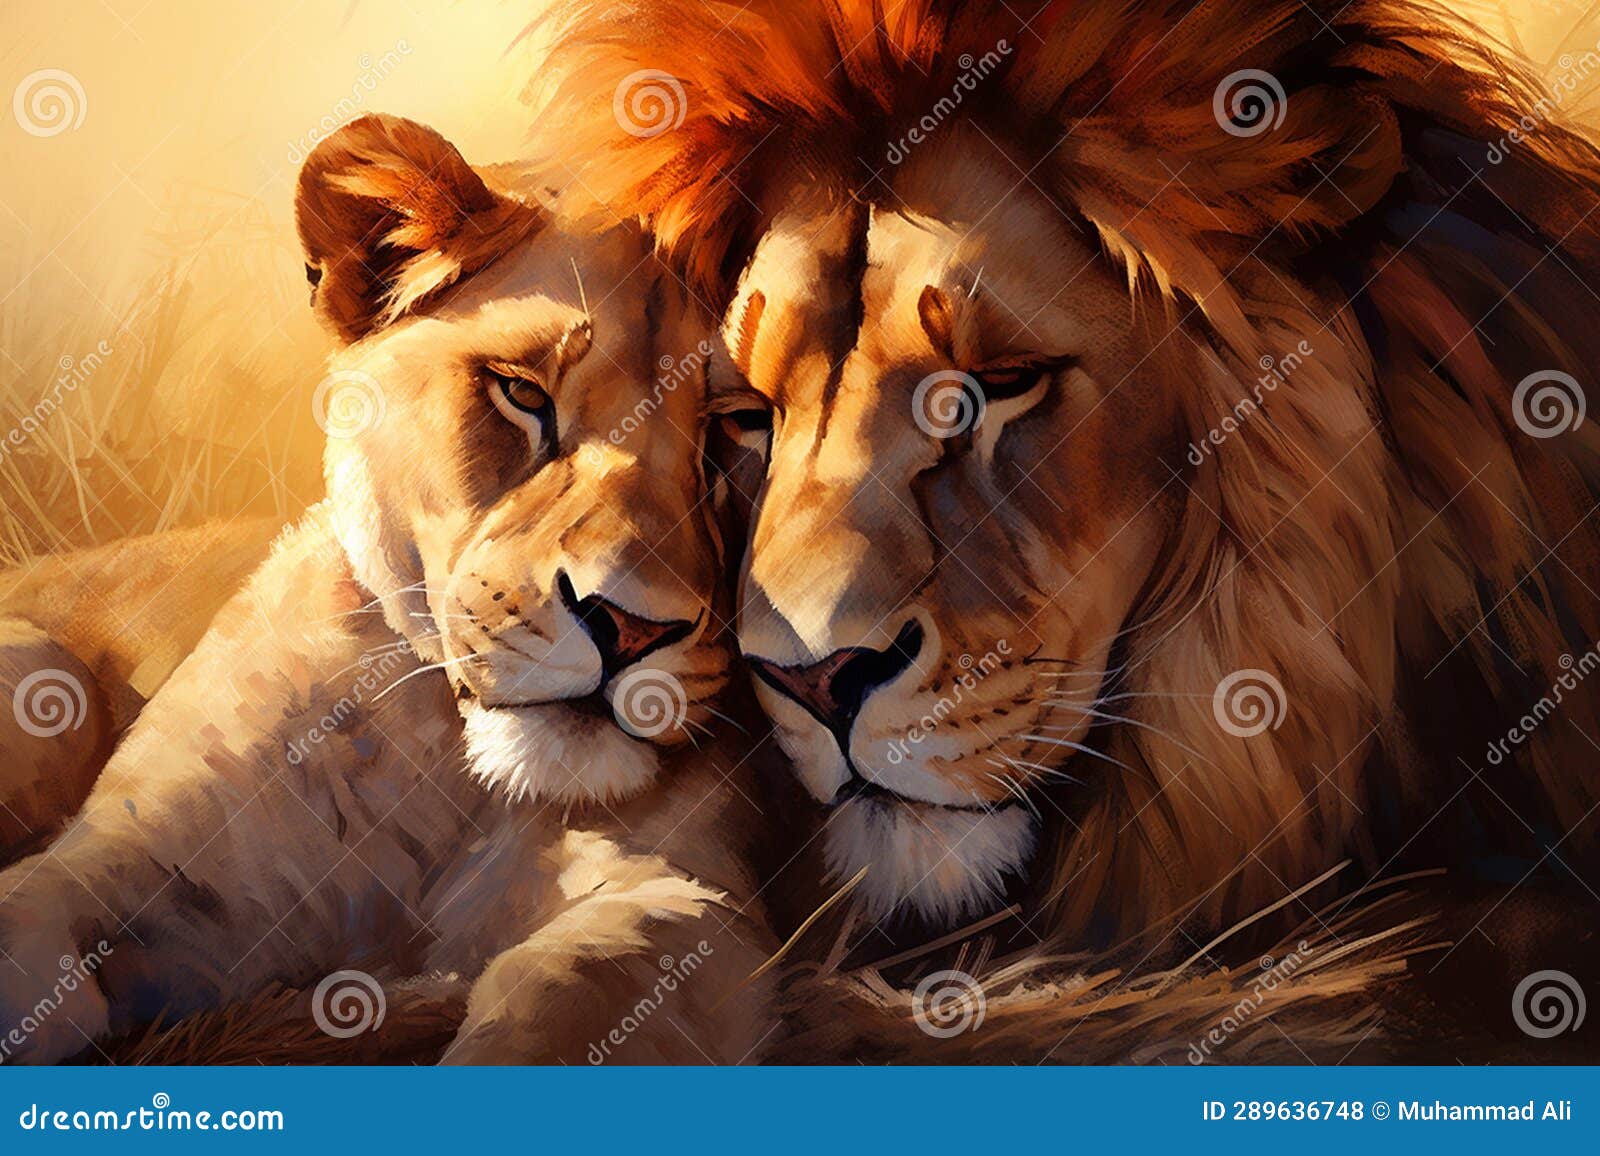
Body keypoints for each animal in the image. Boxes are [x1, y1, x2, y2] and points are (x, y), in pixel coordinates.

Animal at [0, 114, 777, 1064]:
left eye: (735, 431)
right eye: (521, 393)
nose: (628, 628)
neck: (438, 780)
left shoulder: (683, 900)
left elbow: (560, 1001)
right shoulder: (116, 860)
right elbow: (31, 927)